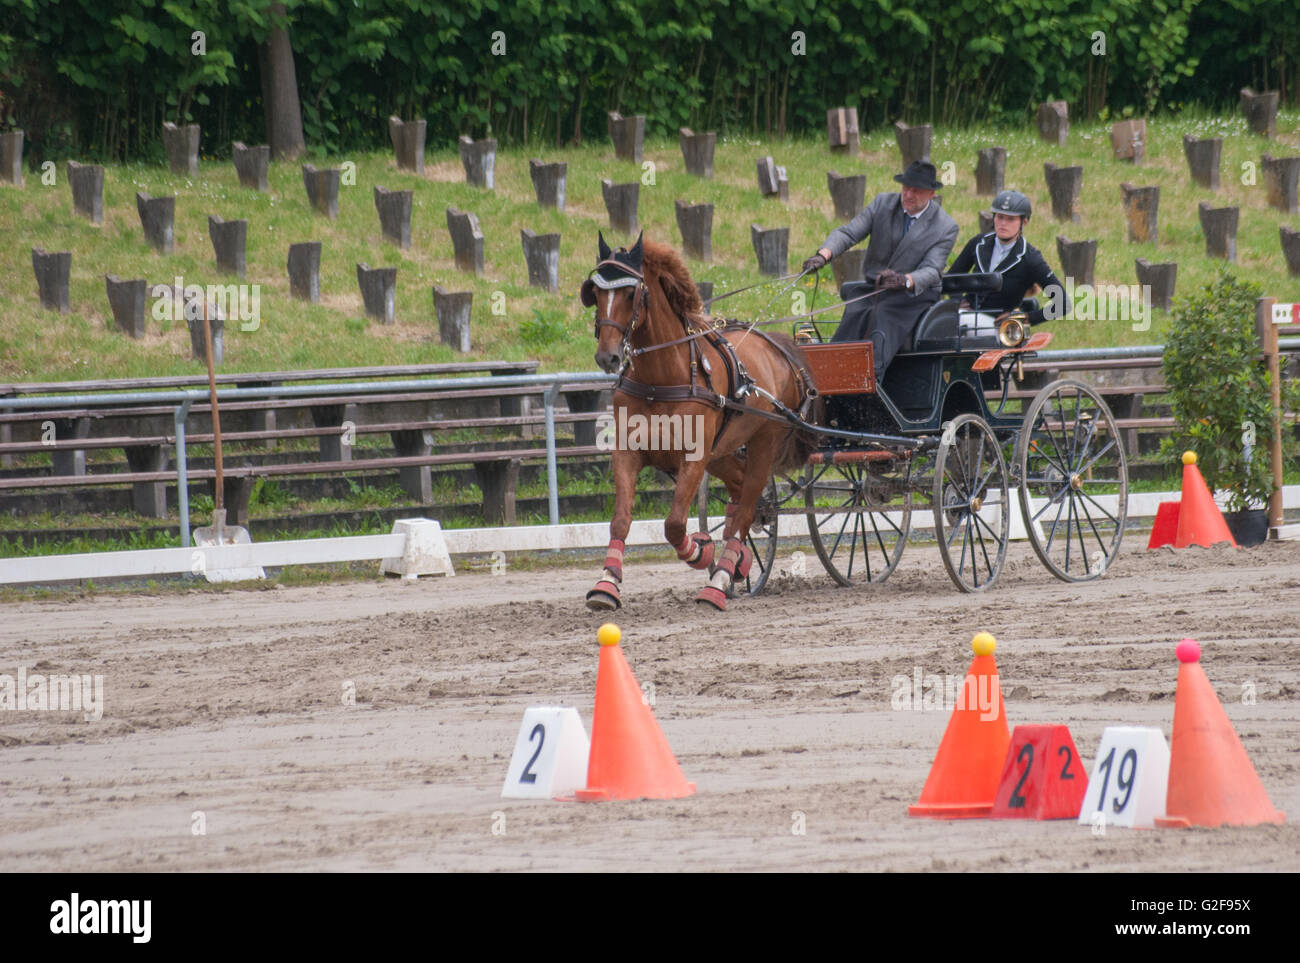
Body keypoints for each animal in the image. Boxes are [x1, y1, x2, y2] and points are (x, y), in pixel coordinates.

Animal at [580, 231, 821, 611]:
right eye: (595, 292)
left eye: (631, 293)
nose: (608, 356)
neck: (662, 379)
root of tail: (780, 348)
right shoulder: (628, 452)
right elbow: (620, 521)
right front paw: (606, 584)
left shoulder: (694, 458)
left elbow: (675, 525)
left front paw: (701, 553)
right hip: (722, 453)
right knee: (743, 498)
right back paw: (740, 562)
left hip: (762, 443)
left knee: (746, 506)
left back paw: (719, 580)